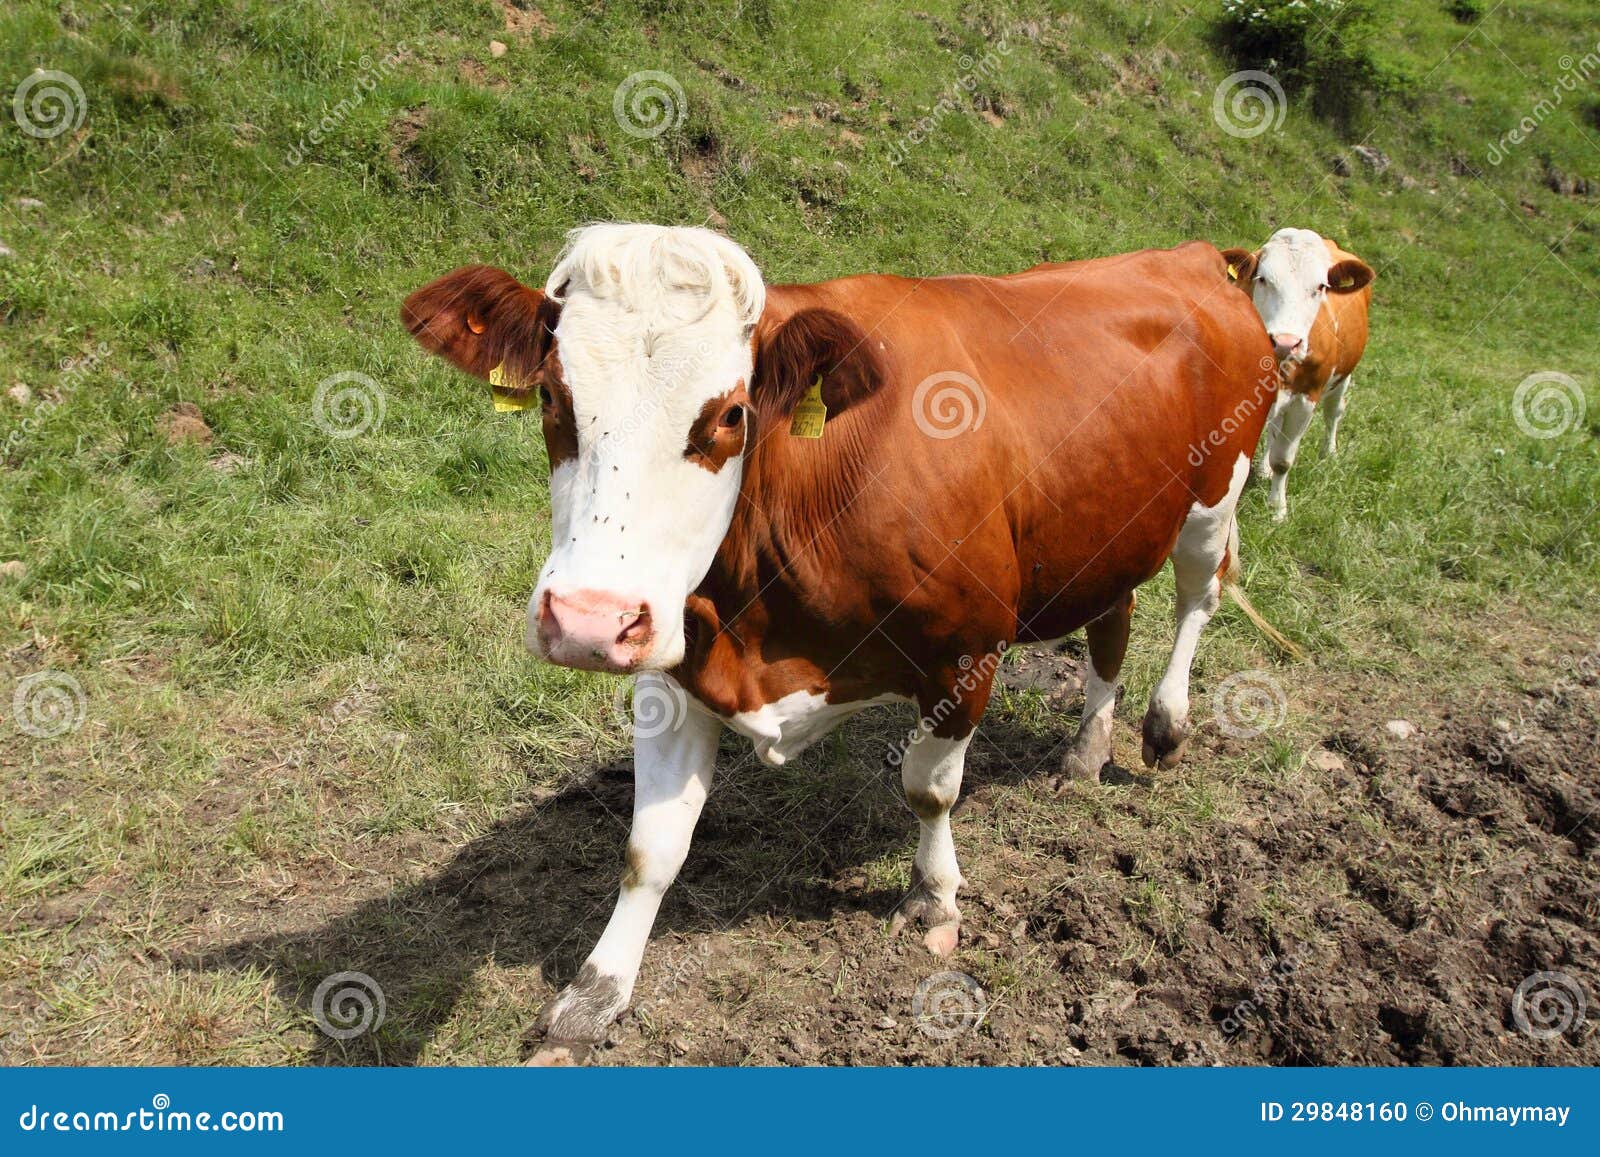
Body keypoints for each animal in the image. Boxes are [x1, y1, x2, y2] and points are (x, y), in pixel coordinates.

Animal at [401, 223, 1278, 1055]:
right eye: (554, 396)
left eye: (730, 414)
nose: (587, 620)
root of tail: (1190, 255)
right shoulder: (673, 671)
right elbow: (651, 847)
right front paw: (594, 993)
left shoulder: (966, 650)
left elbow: (930, 788)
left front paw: (933, 898)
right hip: (1108, 528)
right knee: (1112, 621)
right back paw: (1088, 748)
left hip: (1214, 495)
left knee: (1195, 601)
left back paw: (1165, 725)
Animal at [1220, 228, 1375, 521]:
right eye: (1263, 279)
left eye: (1321, 287)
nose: (1285, 342)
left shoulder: (1305, 398)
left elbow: (1284, 460)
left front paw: (1277, 509)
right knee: (1274, 428)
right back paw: (1264, 468)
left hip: (1343, 377)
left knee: (1334, 412)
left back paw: (1329, 453)